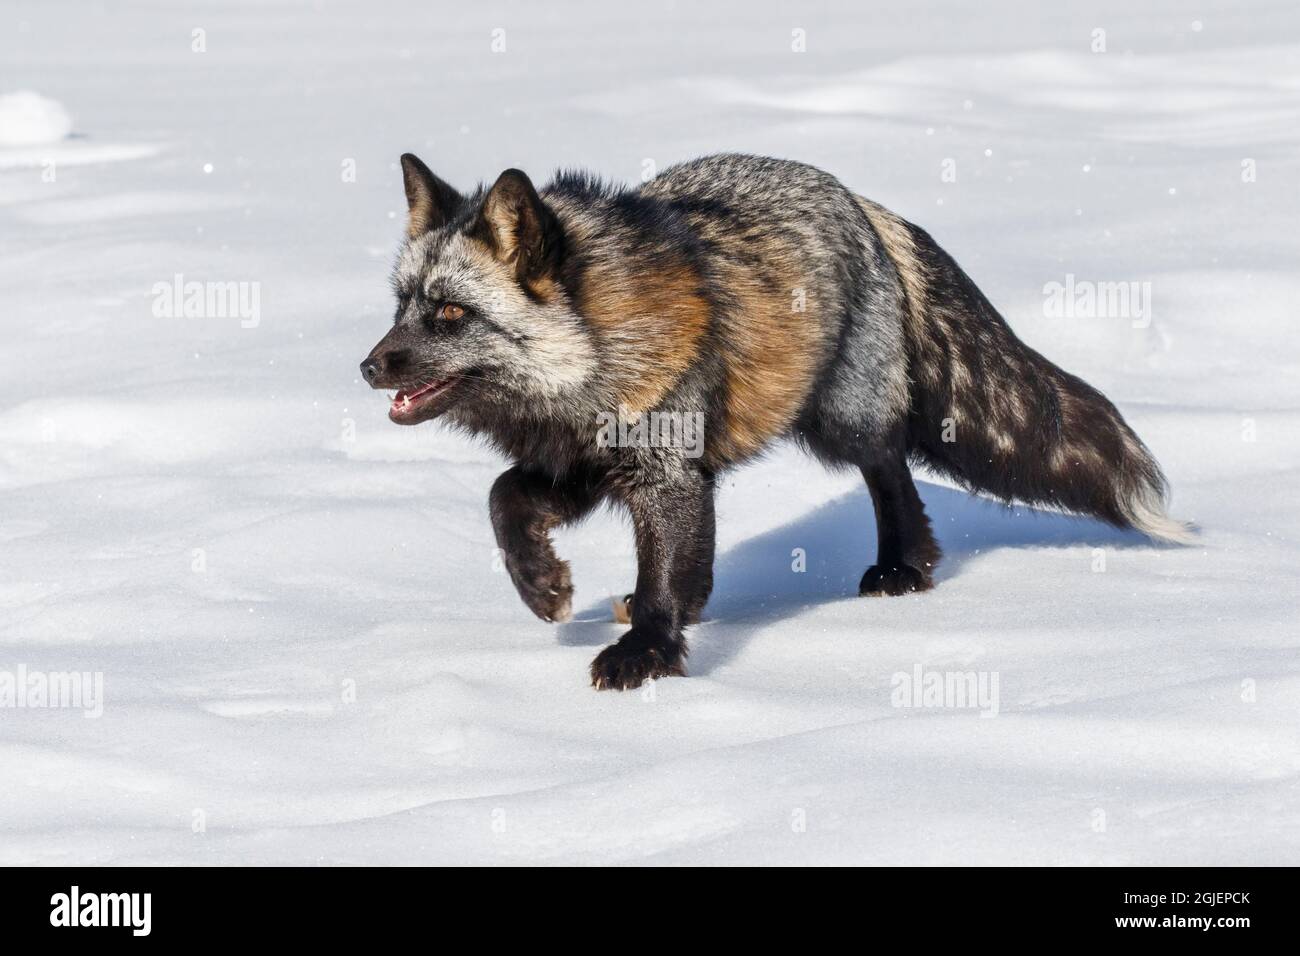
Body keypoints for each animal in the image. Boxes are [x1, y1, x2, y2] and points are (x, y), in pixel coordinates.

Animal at [361, 152, 1191, 691]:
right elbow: (504, 498)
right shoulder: (586, 466)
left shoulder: (665, 469)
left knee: (890, 471)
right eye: (402, 306)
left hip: (841, 418)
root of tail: (859, 200)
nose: (368, 367)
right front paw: (544, 587)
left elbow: (662, 574)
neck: (593, 362)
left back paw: (903, 568)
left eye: (450, 315)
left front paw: (646, 654)